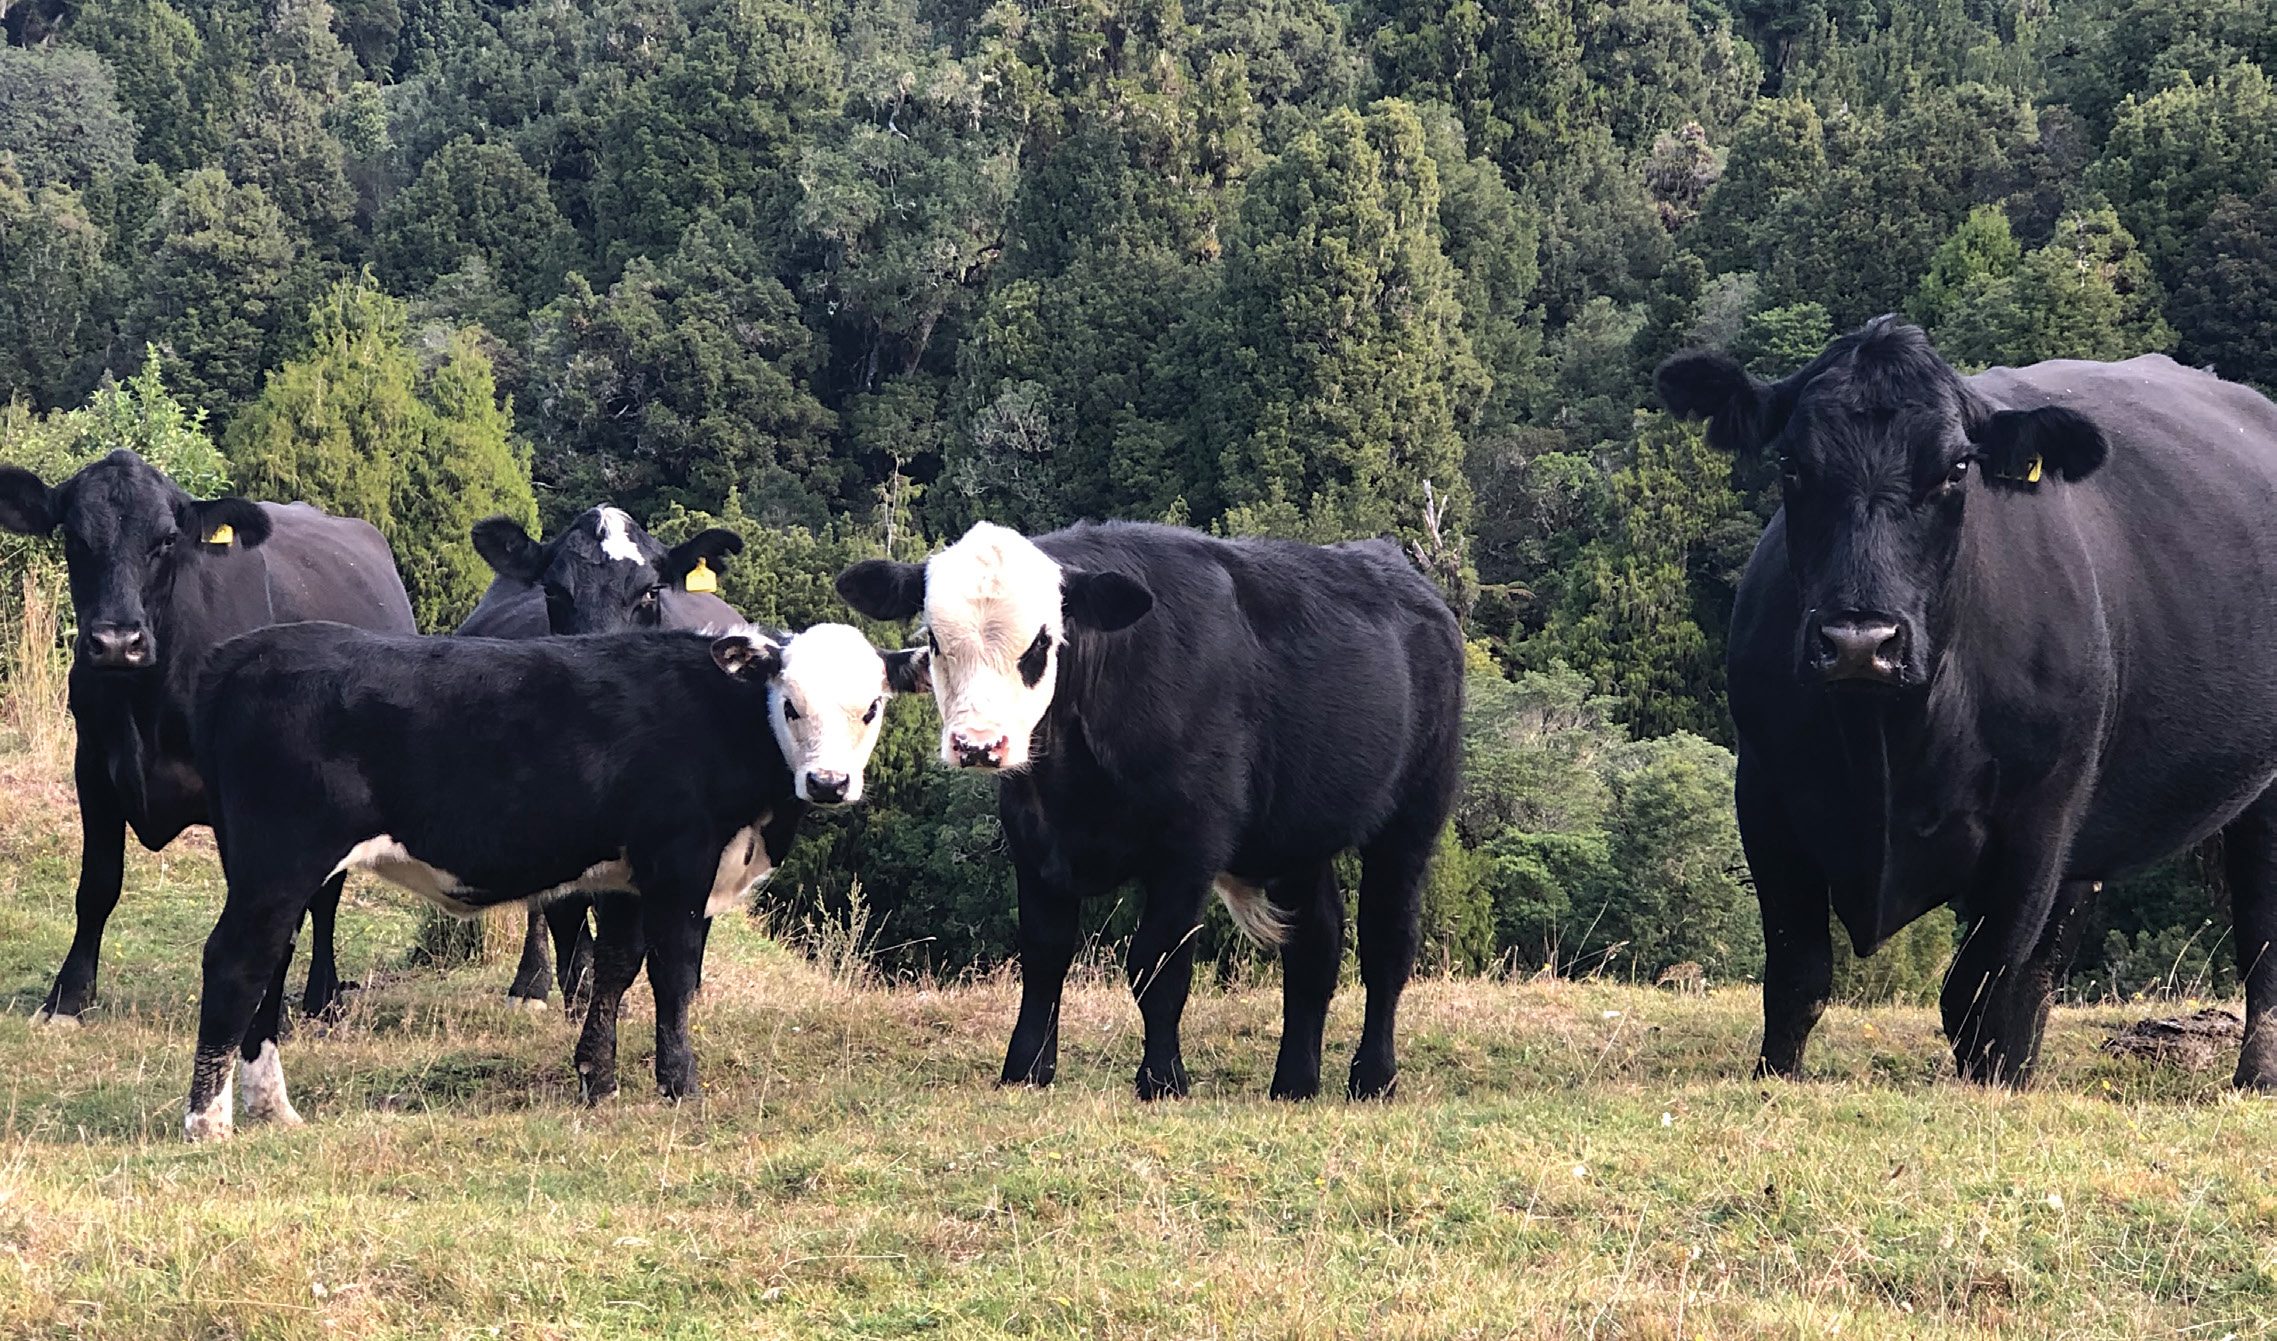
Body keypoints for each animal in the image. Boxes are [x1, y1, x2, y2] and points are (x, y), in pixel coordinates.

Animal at [0, 449, 415, 1025]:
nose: (117, 642)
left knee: (326, 895)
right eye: (76, 537)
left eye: (167, 539)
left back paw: (323, 997)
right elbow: (98, 884)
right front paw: (68, 998)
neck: (145, 698)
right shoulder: (93, 763)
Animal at [181, 619, 921, 1139]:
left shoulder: (629, 877)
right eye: (790, 705)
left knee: (270, 963)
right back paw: (207, 1122)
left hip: (269, 872)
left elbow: (615, 969)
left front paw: (598, 1077)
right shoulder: (681, 864)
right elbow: (675, 976)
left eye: (871, 708)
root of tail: (250, 652)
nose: (828, 782)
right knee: (236, 962)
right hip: (279, 862)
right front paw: (680, 1085)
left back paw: (271, 1107)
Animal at [836, 521, 1463, 1101]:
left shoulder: (1189, 848)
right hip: (1298, 834)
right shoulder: (1033, 841)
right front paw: (1026, 1069)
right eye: (937, 642)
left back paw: (1373, 1077)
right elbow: (1043, 955)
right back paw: (1294, 1082)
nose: (978, 744)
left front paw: (1162, 1080)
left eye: (1040, 644)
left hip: (1413, 816)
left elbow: (1156, 965)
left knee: (1386, 942)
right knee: (1316, 945)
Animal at [1655, 316, 2277, 1089]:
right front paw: (1776, 1079)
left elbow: (1977, 990)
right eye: (1791, 464)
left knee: (2260, 935)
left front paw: (1990, 1087)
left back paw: (2255, 1076)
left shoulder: (2037, 818)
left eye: (1955, 469)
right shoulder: (1766, 793)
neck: (1888, 741)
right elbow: (1798, 974)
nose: (1859, 641)